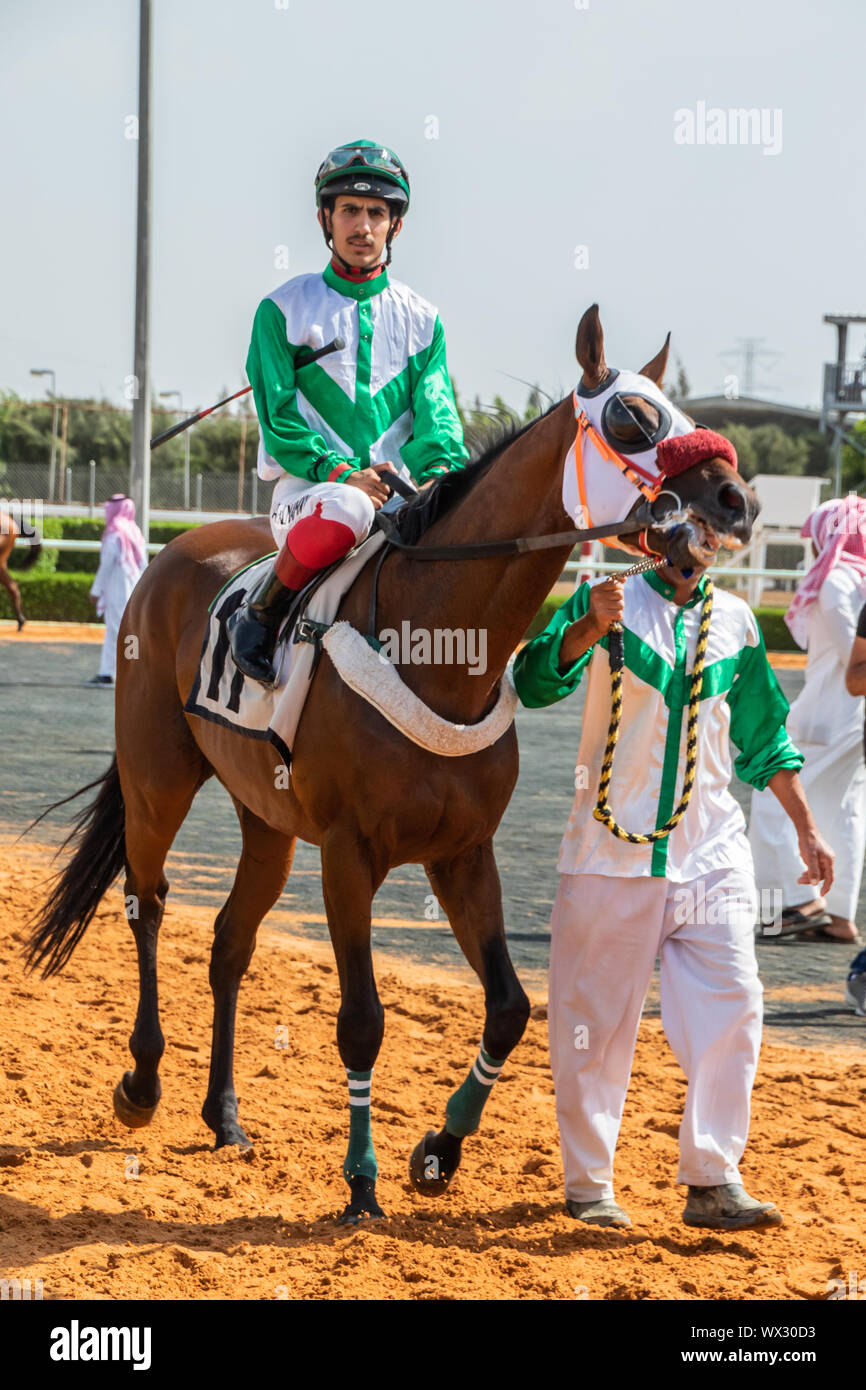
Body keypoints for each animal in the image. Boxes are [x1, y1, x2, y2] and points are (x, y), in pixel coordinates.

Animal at [25, 305, 759, 1224]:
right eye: (633, 417)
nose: (737, 499)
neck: (438, 647)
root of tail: (175, 552)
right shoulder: (349, 855)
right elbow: (363, 1021)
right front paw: (362, 1182)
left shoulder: (463, 851)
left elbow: (510, 1007)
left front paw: (438, 1151)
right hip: (158, 779)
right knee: (147, 901)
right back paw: (143, 1082)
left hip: (266, 820)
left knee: (229, 943)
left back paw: (224, 1116)